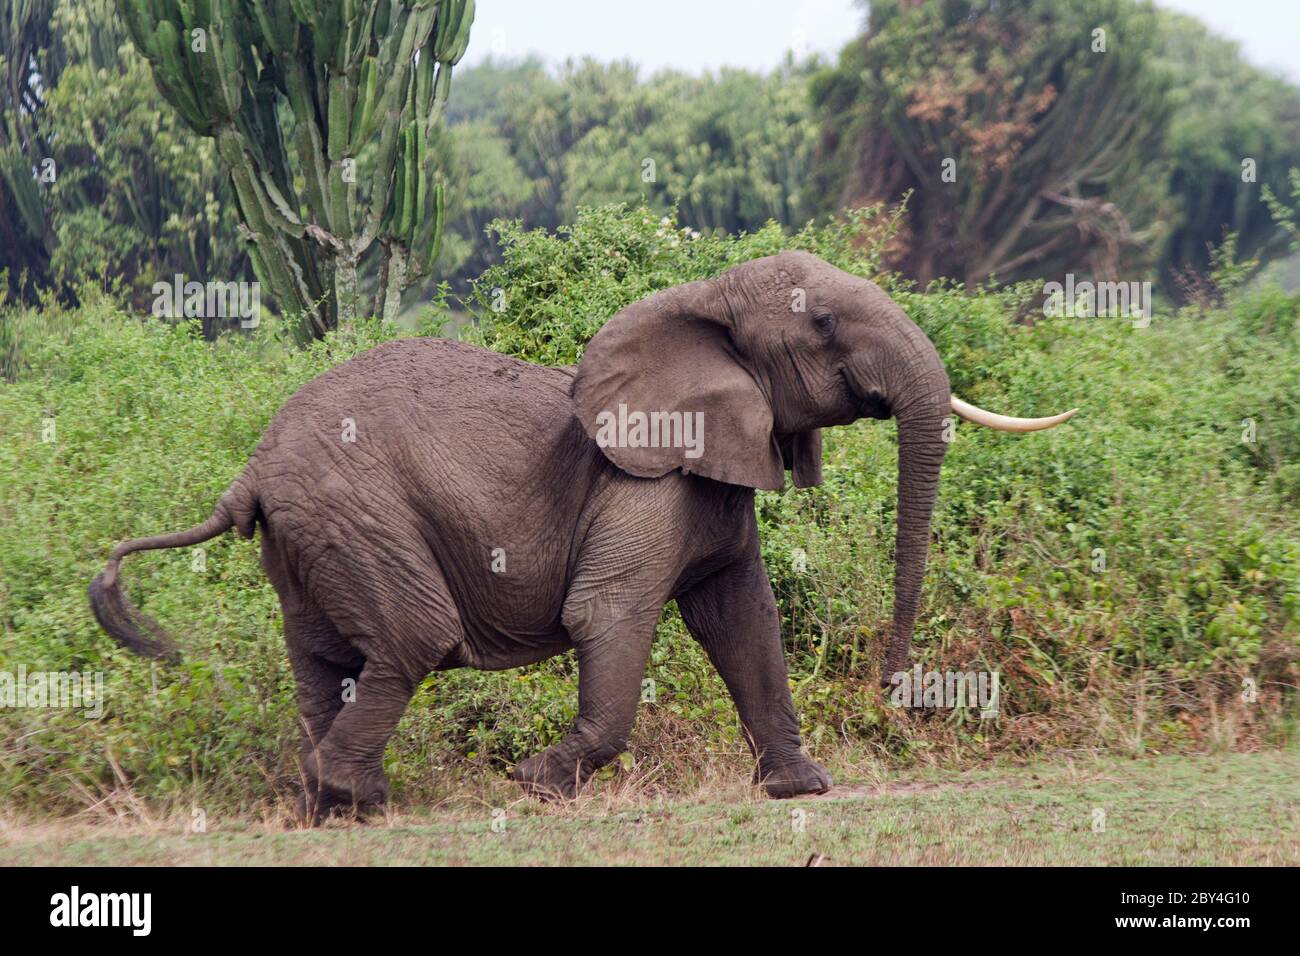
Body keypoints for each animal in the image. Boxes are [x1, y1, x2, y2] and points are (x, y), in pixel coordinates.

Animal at [89, 250, 1075, 822]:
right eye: (824, 323)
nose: (896, 691)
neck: (696, 303)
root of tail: (248, 471)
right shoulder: (645, 485)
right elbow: (610, 616)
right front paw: (535, 783)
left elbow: (743, 618)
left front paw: (802, 788)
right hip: (356, 516)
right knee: (410, 639)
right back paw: (360, 798)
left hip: (309, 534)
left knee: (321, 659)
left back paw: (328, 807)